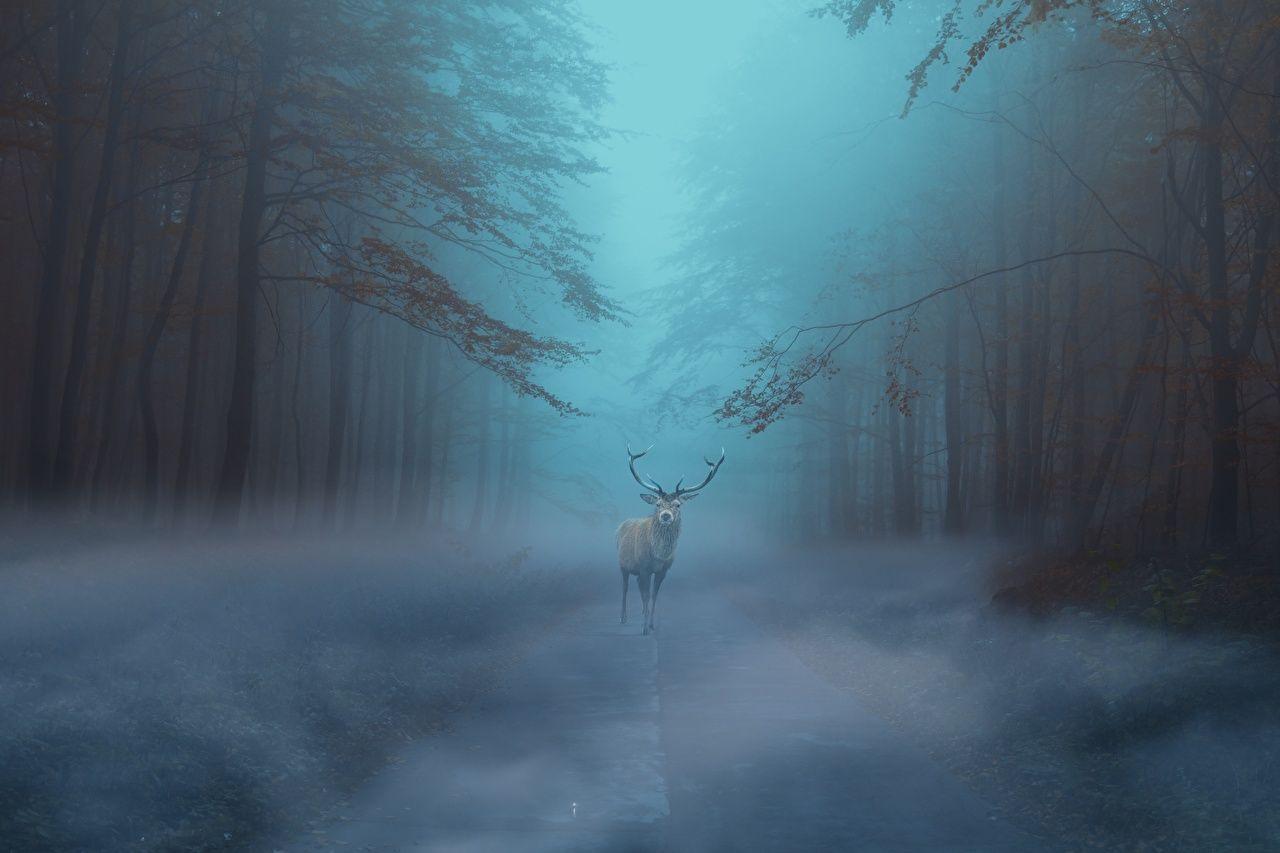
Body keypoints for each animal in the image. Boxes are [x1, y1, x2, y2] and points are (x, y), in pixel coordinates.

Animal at [616, 443, 724, 635]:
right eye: (658, 504)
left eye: (678, 505)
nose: (666, 515)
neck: (658, 556)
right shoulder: (643, 567)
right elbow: (646, 595)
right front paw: (644, 629)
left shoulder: (663, 571)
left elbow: (653, 595)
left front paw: (651, 624)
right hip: (623, 564)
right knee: (625, 588)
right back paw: (623, 618)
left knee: (637, 586)